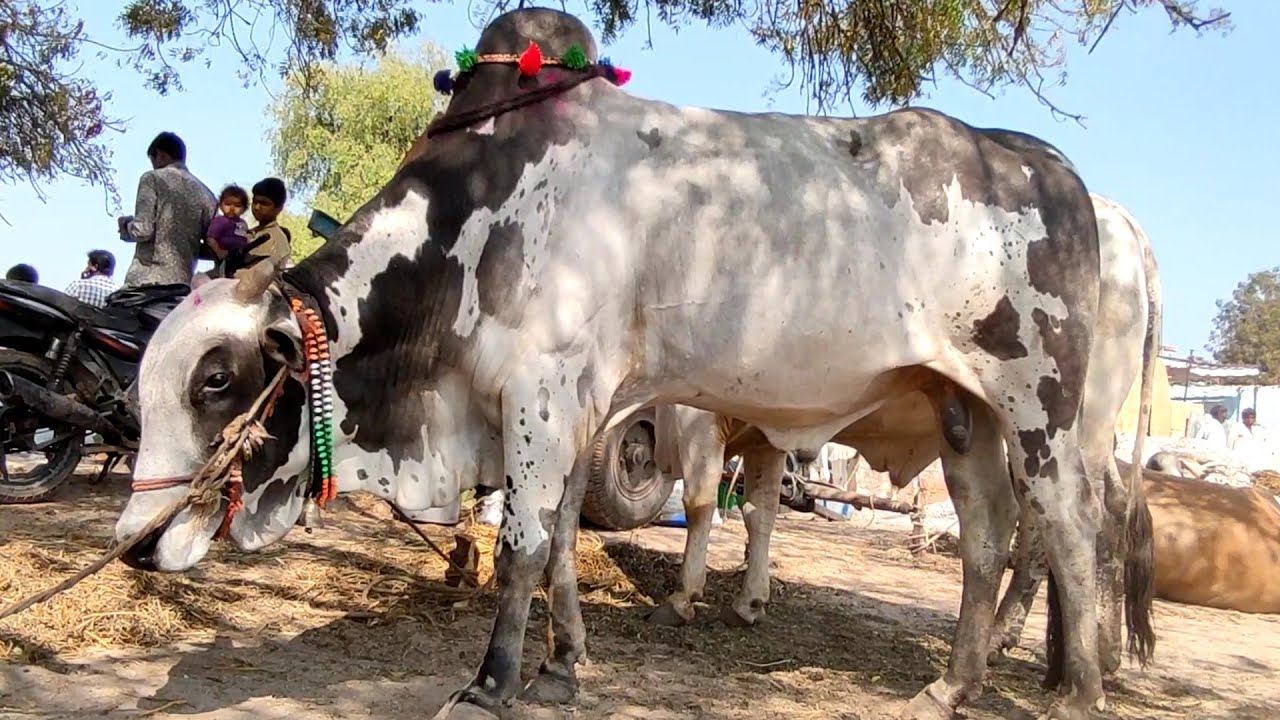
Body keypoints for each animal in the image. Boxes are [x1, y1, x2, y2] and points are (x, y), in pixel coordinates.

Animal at [650, 193, 1161, 679]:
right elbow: (761, 513)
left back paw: (1022, 641)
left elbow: (700, 505)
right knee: (1092, 521)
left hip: (1056, 432)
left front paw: (682, 597)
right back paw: (1097, 651)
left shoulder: (697, 417)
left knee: (1068, 526)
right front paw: (748, 602)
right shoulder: (767, 431)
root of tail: (1122, 220)